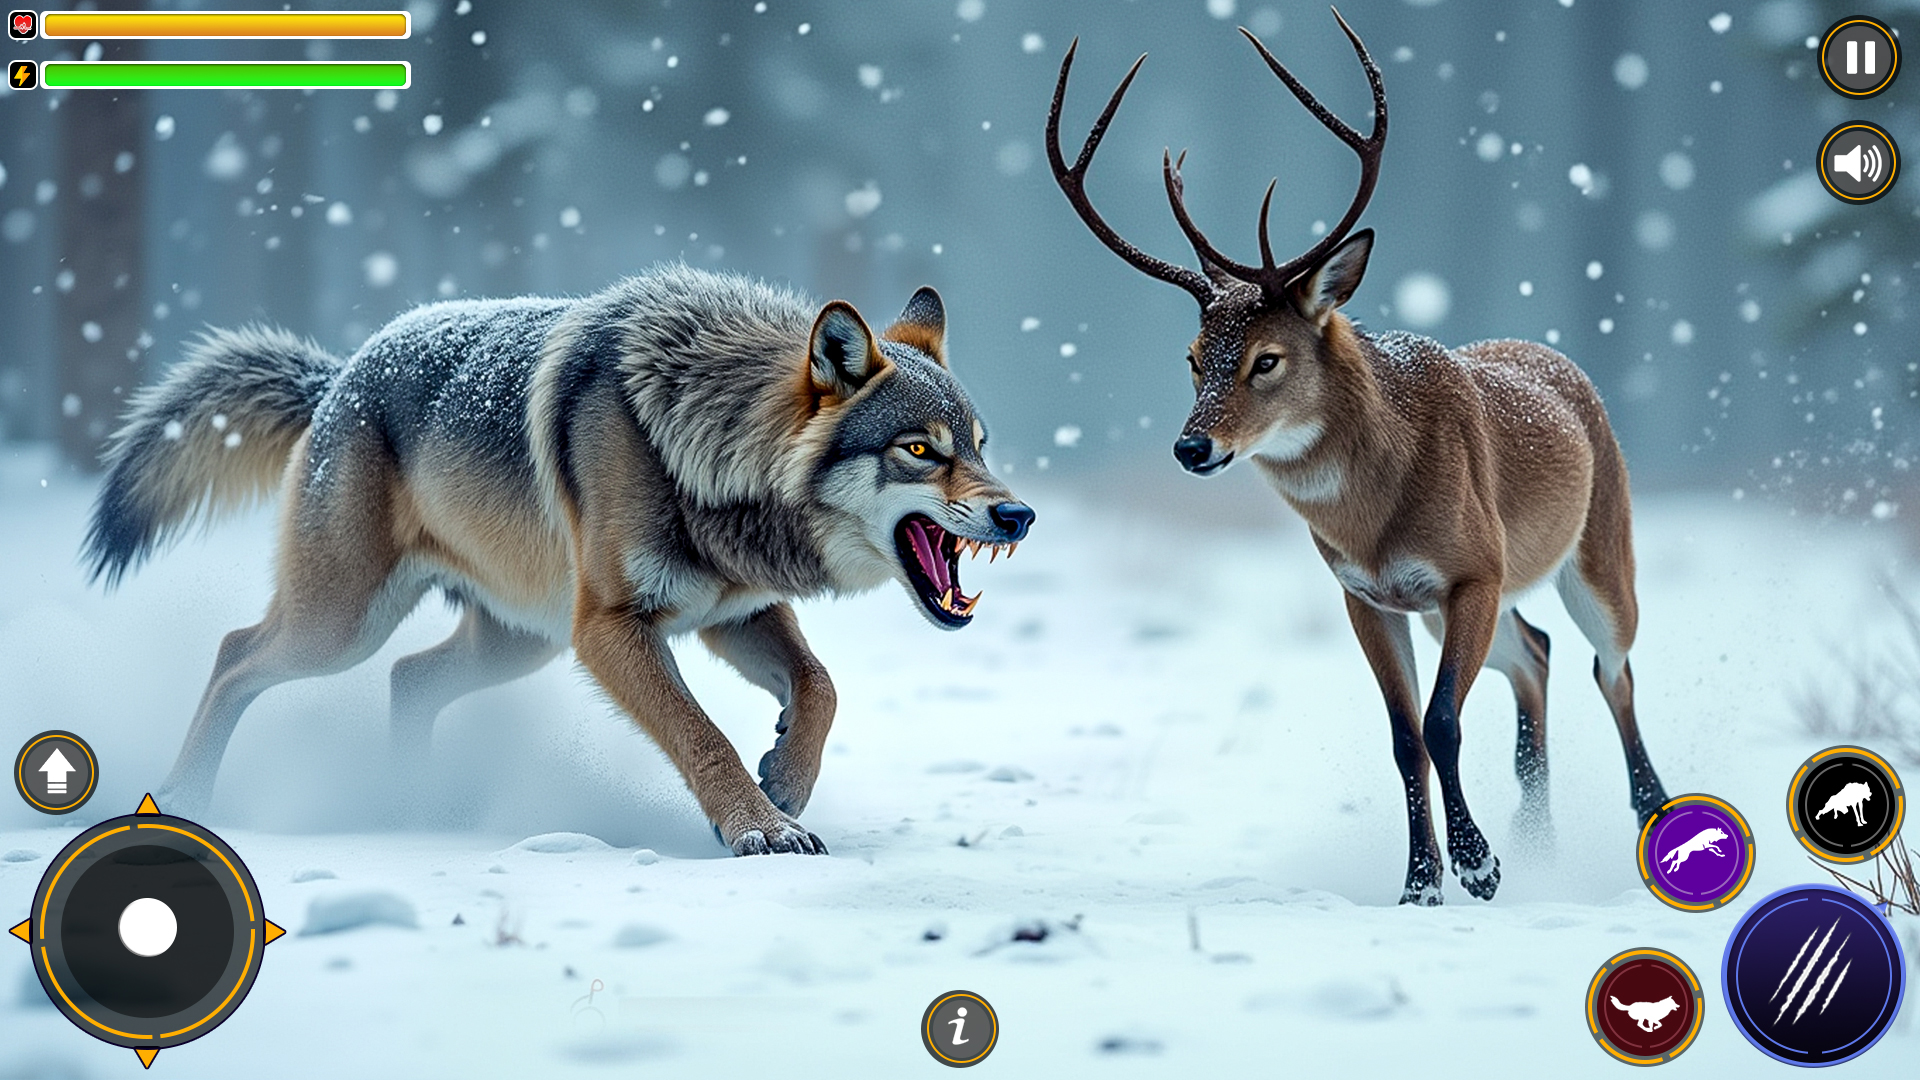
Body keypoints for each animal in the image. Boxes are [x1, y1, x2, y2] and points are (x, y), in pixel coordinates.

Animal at [83, 265, 1034, 855]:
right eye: (921, 450)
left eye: (981, 445)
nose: (1018, 514)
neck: (698, 443)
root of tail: (338, 373)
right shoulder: (612, 630)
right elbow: (702, 735)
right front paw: (759, 827)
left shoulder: (735, 612)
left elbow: (821, 685)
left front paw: (786, 783)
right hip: (343, 627)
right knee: (234, 655)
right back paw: (186, 799)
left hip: (515, 642)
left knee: (409, 679)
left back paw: (415, 809)